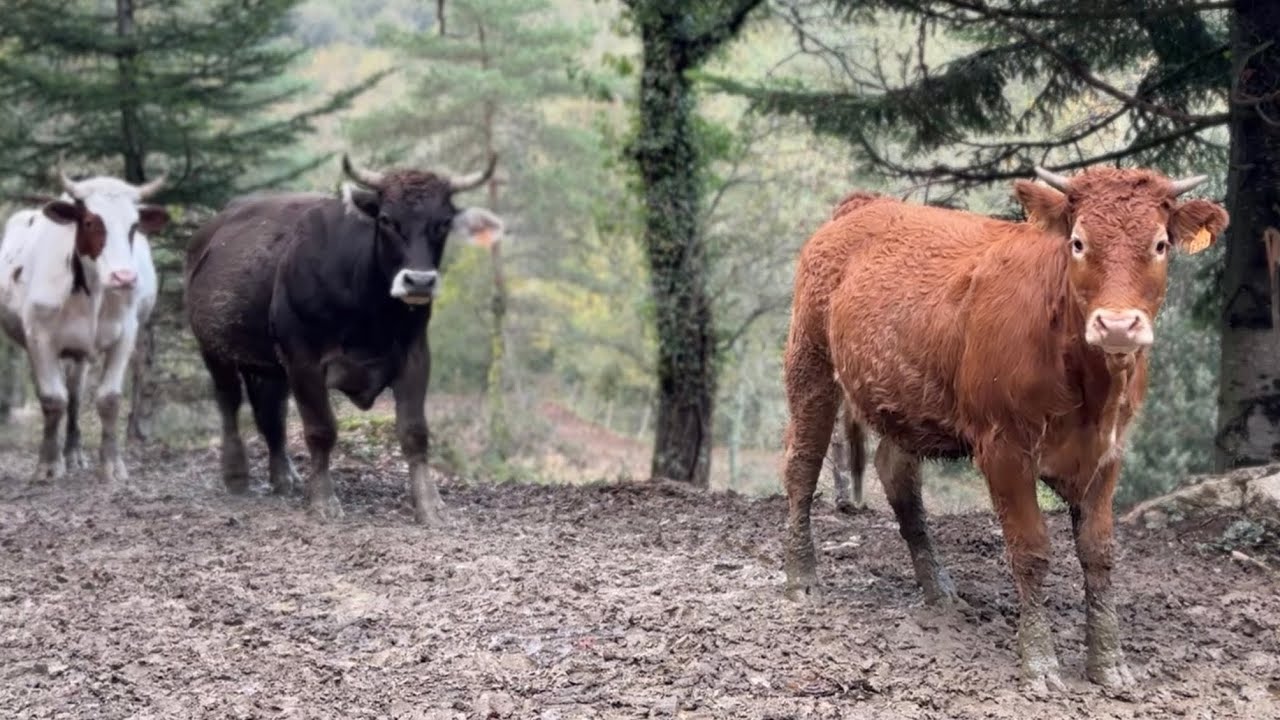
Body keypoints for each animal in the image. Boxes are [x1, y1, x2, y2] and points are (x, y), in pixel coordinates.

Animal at [0, 170, 167, 483]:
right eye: (90, 221)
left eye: (134, 226)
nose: (124, 277)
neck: (92, 292)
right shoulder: (39, 339)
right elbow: (53, 399)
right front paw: (48, 465)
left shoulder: (125, 337)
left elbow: (108, 399)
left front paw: (112, 465)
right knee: (62, 395)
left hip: (80, 354)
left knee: (76, 395)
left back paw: (74, 453)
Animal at [183, 154, 503, 525]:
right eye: (386, 219)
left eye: (444, 222)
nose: (419, 282)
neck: (369, 312)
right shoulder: (303, 360)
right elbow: (321, 429)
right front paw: (322, 499)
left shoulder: (415, 356)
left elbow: (414, 432)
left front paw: (429, 504)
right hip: (213, 348)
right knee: (229, 403)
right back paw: (236, 473)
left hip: (268, 364)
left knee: (271, 413)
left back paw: (284, 477)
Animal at [781, 167, 1228, 692]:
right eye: (1078, 242)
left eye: (1159, 244)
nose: (1118, 326)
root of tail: (866, 205)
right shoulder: (1004, 447)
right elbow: (1031, 549)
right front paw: (1039, 662)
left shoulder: (1108, 454)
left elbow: (1099, 553)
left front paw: (1109, 663)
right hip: (810, 360)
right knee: (803, 465)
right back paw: (801, 578)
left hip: (903, 396)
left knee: (896, 473)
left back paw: (939, 591)